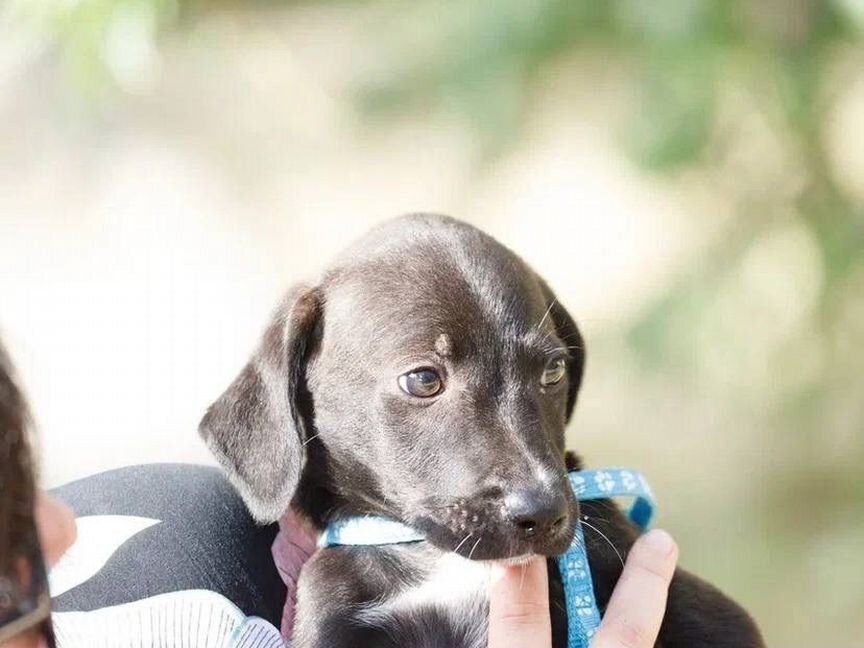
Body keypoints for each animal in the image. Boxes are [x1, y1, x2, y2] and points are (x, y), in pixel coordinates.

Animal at [197, 216, 764, 648]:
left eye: (553, 371)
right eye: (423, 379)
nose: (544, 514)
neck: (439, 561)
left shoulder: (704, 611)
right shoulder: (334, 616)